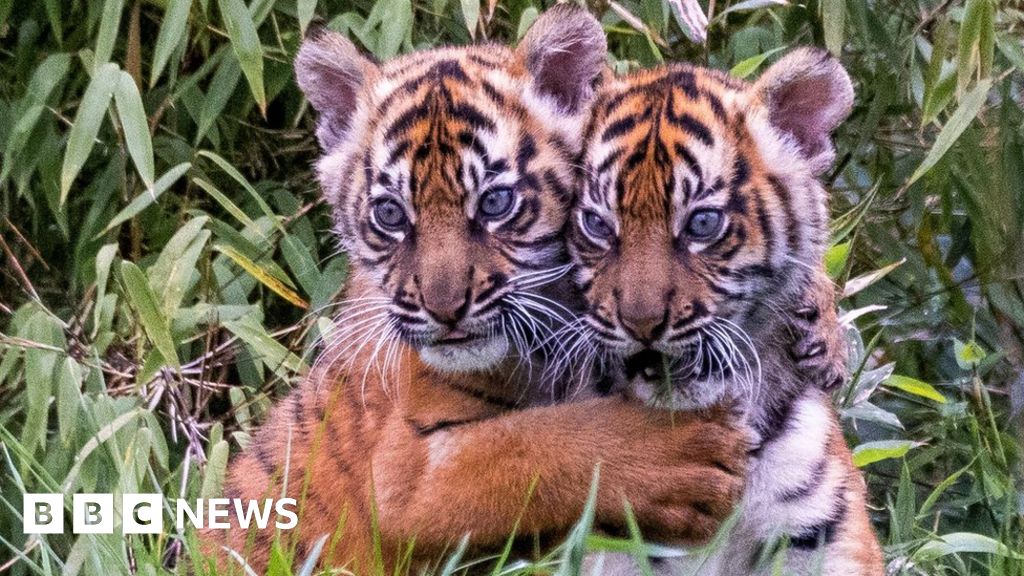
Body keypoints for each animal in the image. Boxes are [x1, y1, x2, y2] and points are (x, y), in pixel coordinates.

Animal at [199, 7, 751, 574]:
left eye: (495, 203)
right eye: (390, 213)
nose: (444, 308)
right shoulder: (403, 475)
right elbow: (523, 448)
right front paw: (687, 452)